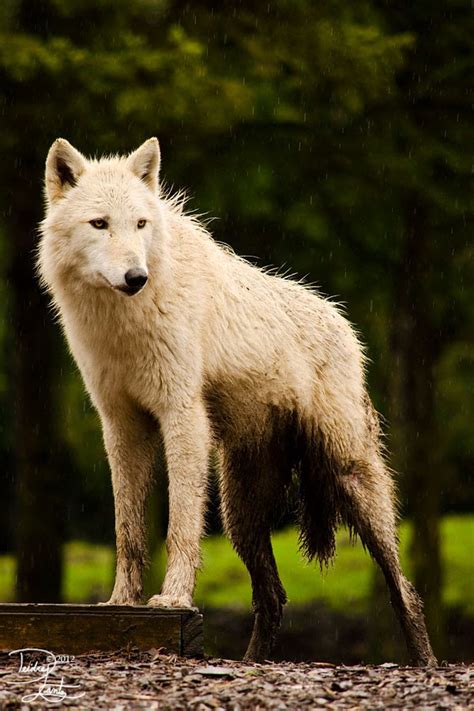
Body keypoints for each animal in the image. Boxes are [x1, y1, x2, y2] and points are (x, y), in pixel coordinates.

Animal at [38, 137, 436, 666]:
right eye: (99, 224)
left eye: (140, 224)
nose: (136, 276)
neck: (122, 324)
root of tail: (346, 326)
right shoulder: (120, 426)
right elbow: (129, 532)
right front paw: (122, 602)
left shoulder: (182, 416)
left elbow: (180, 524)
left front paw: (174, 599)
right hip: (240, 513)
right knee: (273, 598)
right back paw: (250, 664)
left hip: (350, 480)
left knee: (404, 589)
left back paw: (425, 663)